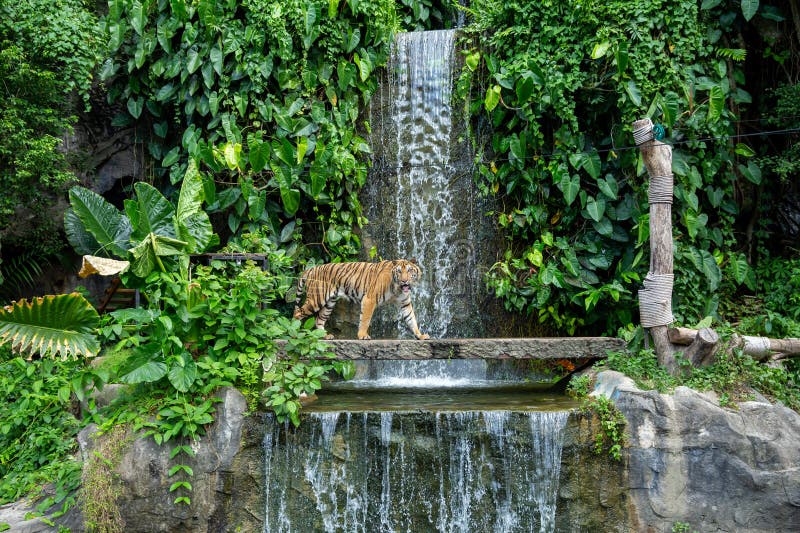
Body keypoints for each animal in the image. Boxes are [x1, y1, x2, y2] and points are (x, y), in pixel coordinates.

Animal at [293, 259, 430, 340]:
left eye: (410, 270)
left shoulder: (405, 303)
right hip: (316, 299)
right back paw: (293, 332)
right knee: (297, 313)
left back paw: (325, 336)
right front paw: (363, 335)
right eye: (399, 272)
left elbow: (412, 319)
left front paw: (420, 335)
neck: (398, 289)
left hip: (329, 303)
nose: (404, 281)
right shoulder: (369, 299)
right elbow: (365, 320)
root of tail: (312, 268)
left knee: (319, 320)